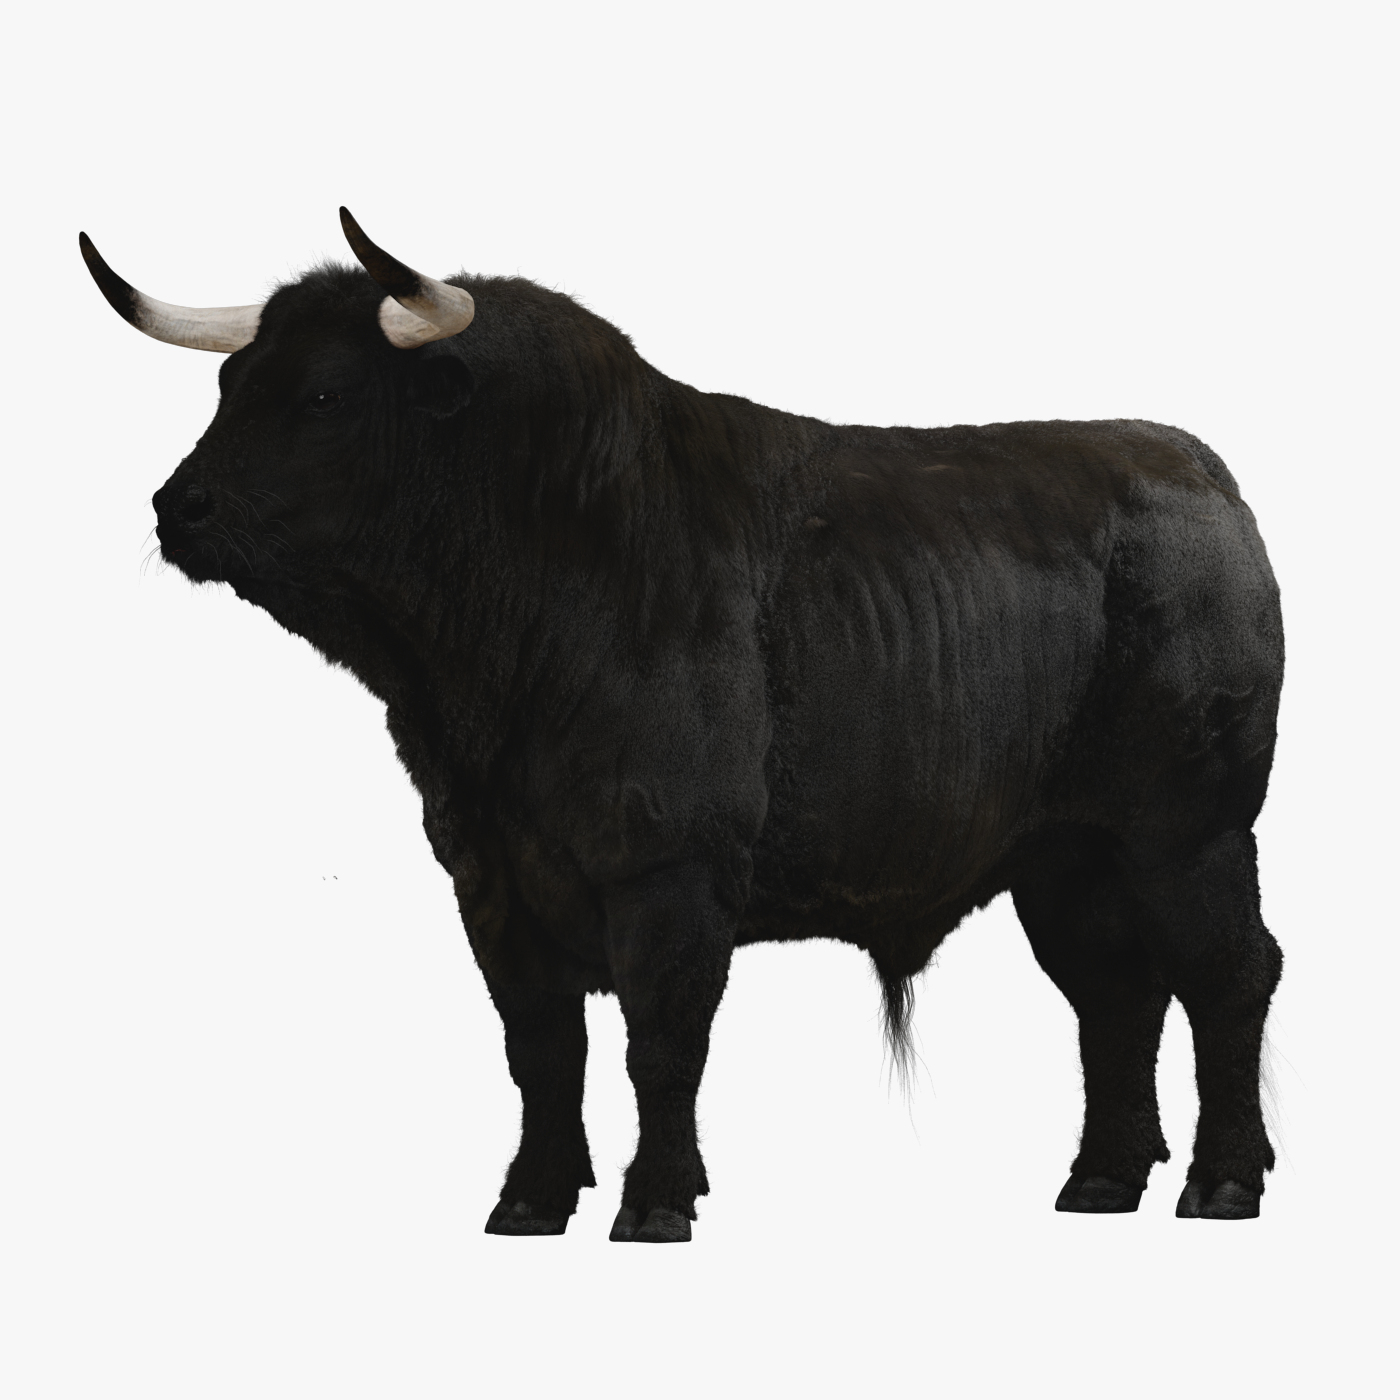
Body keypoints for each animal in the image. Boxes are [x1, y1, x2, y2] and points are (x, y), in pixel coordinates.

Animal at [80, 210, 1284, 1241]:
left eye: (326, 394)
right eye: (231, 380)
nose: (178, 508)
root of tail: (1196, 474)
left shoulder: (669, 868)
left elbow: (659, 1043)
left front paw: (654, 1199)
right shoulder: (492, 877)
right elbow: (541, 1048)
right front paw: (529, 1197)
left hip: (1189, 831)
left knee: (1228, 973)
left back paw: (1221, 1181)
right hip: (1068, 855)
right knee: (1116, 991)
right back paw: (1100, 1179)